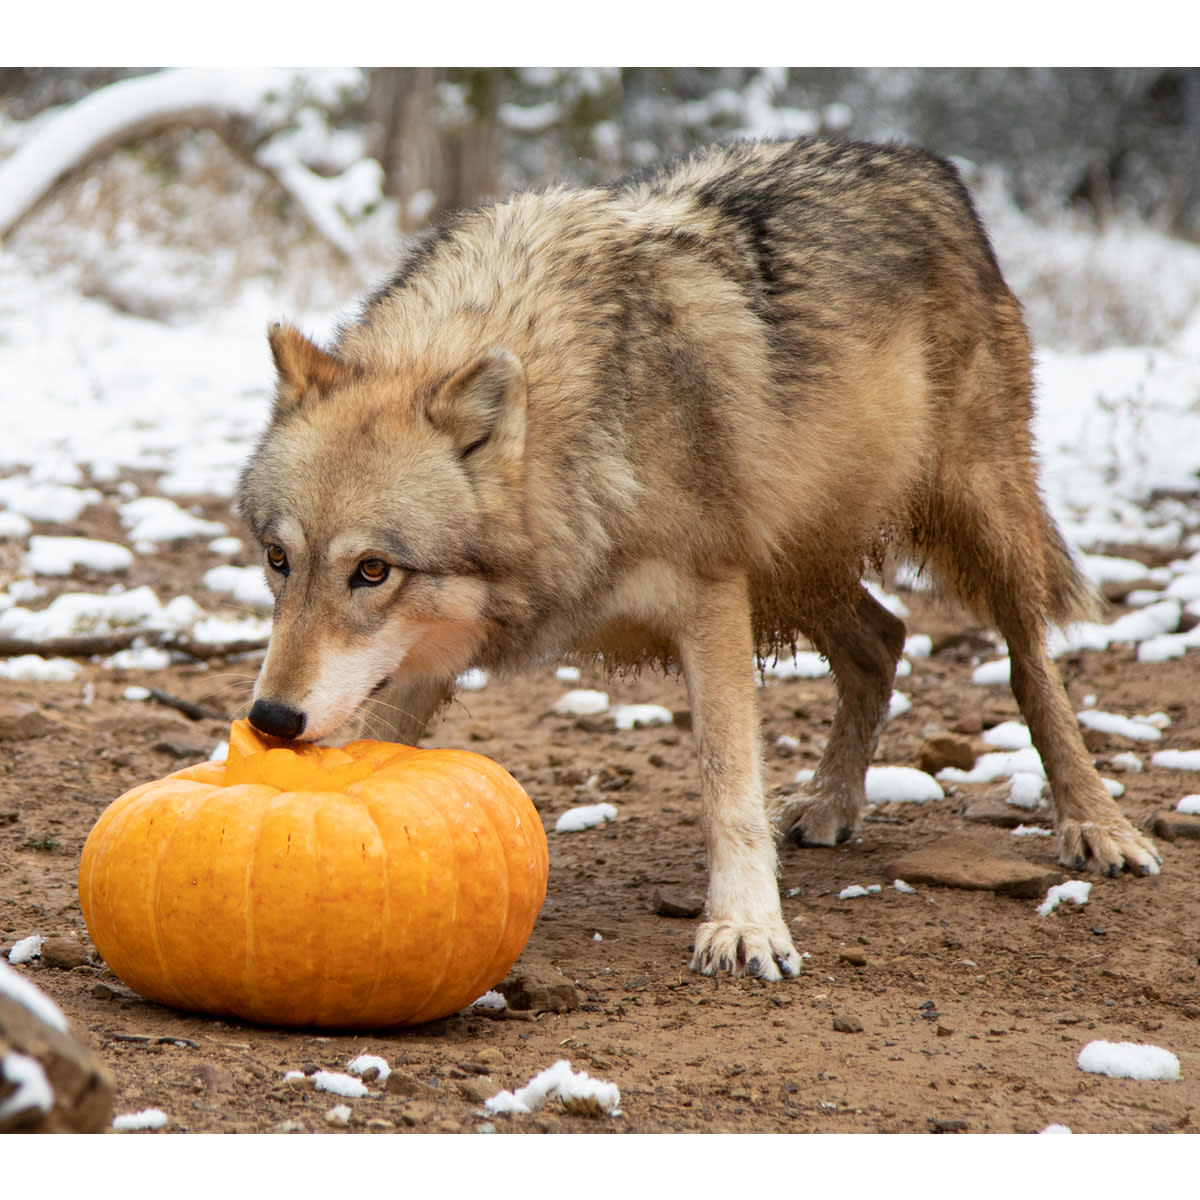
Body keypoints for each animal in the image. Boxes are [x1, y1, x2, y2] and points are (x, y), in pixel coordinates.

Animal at [237, 137, 1161, 982]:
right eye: (279, 559)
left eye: (372, 571)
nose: (270, 719)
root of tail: (923, 163)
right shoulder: (434, 651)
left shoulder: (709, 598)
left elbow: (728, 785)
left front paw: (746, 927)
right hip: (796, 560)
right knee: (883, 639)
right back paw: (830, 804)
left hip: (975, 519)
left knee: (1032, 669)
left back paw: (1098, 825)